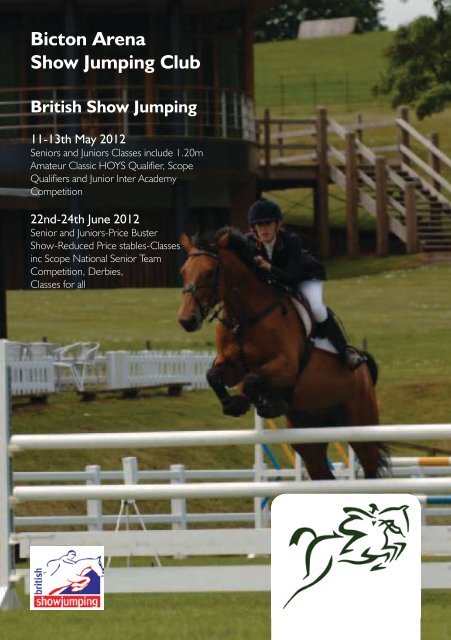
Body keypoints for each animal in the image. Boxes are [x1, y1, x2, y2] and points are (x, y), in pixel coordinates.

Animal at [178, 228, 388, 480]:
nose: (187, 320)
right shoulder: (231, 365)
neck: (246, 318)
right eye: (183, 272)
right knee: (322, 472)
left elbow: (252, 380)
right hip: (309, 435)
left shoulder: (286, 366)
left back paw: (350, 357)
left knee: (370, 465)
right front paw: (234, 404)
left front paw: (267, 403)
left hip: (360, 425)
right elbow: (214, 376)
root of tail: (364, 368)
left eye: (210, 273)